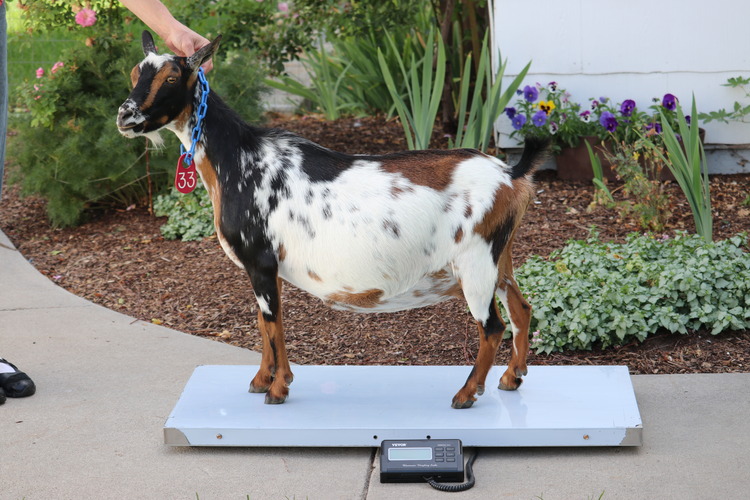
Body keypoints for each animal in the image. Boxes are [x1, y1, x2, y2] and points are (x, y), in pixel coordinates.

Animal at [117, 31, 549, 409]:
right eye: (136, 73)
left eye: (172, 77)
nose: (126, 115)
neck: (239, 159)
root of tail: (510, 174)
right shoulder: (264, 266)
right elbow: (263, 321)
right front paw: (260, 381)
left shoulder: (259, 259)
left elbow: (272, 321)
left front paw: (278, 388)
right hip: (501, 256)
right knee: (521, 308)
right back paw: (512, 378)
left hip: (475, 261)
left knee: (492, 327)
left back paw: (466, 394)